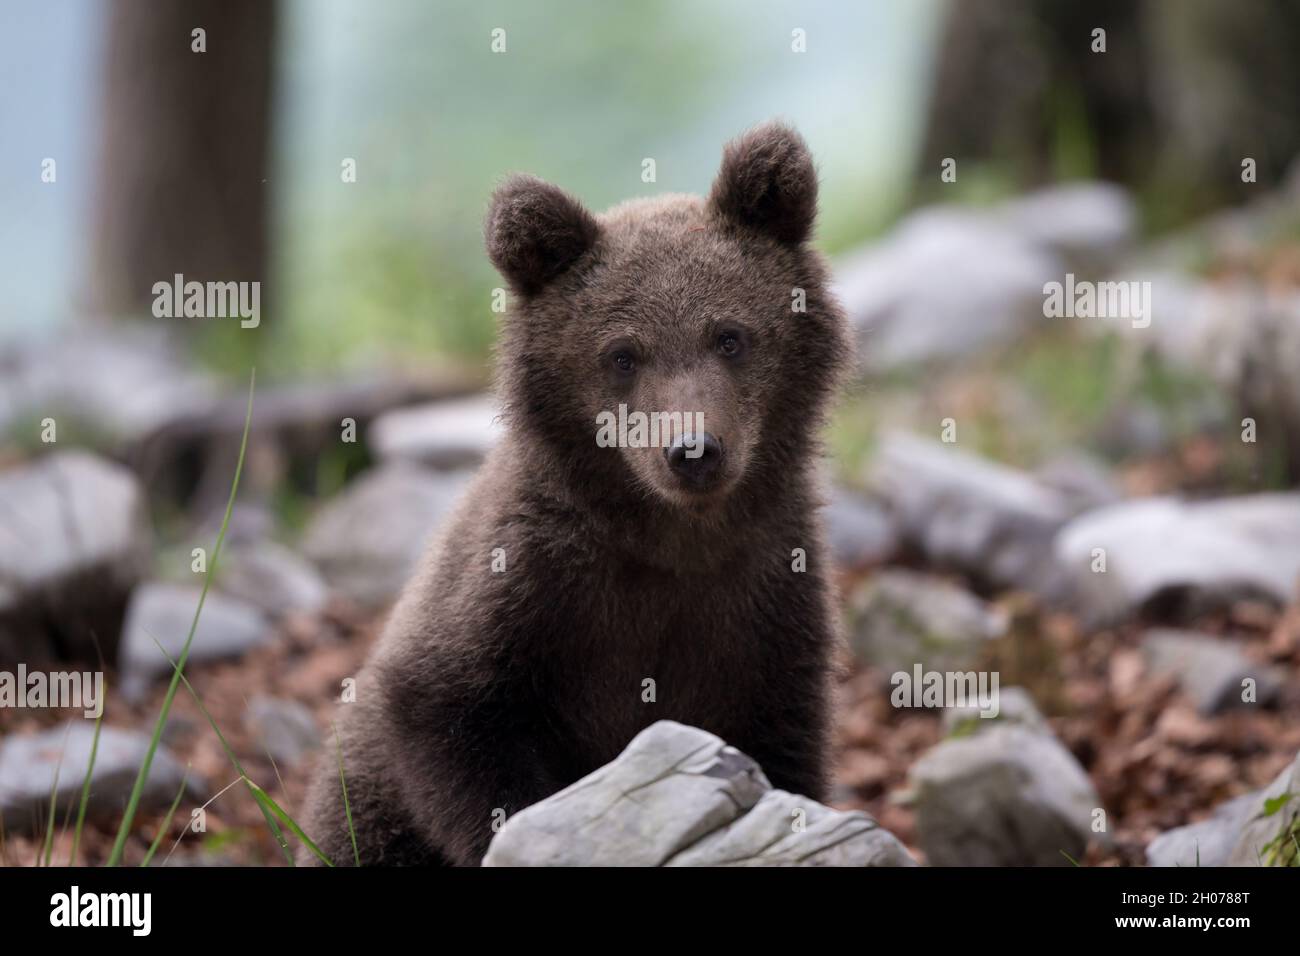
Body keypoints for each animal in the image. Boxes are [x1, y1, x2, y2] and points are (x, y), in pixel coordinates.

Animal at [298, 121, 851, 866]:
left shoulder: (765, 597)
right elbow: (449, 708)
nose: (693, 450)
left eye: (730, 336)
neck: (672, 536)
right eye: (622, 354)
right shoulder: (528, 584)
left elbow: (784, 740)